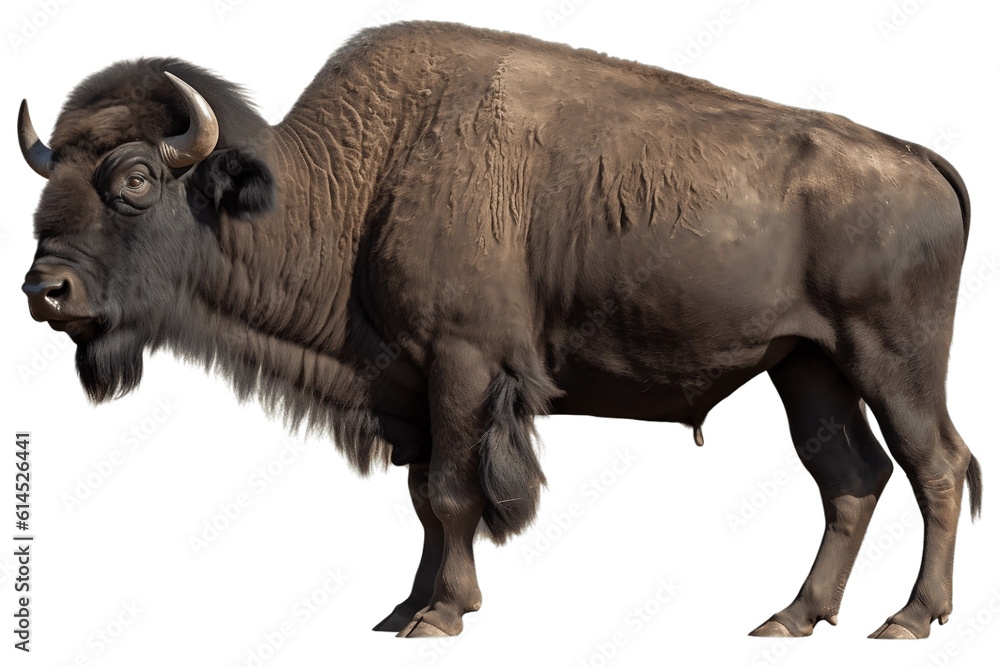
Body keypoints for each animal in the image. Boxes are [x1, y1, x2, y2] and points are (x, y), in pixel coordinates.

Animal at [18, 21, 980, 639]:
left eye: (136, 178)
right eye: (50, 172)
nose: (45, 289)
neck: (358, 182)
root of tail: (919, 160)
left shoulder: (465, 366)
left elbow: (453, 493)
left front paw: (440, 615)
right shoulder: (409, 386)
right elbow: (422, 498)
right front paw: (402, 609)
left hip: (890, 362)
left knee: (936, 465)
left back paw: (908, 619)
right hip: (808, 368)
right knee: (850, 478)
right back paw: (791, 617)